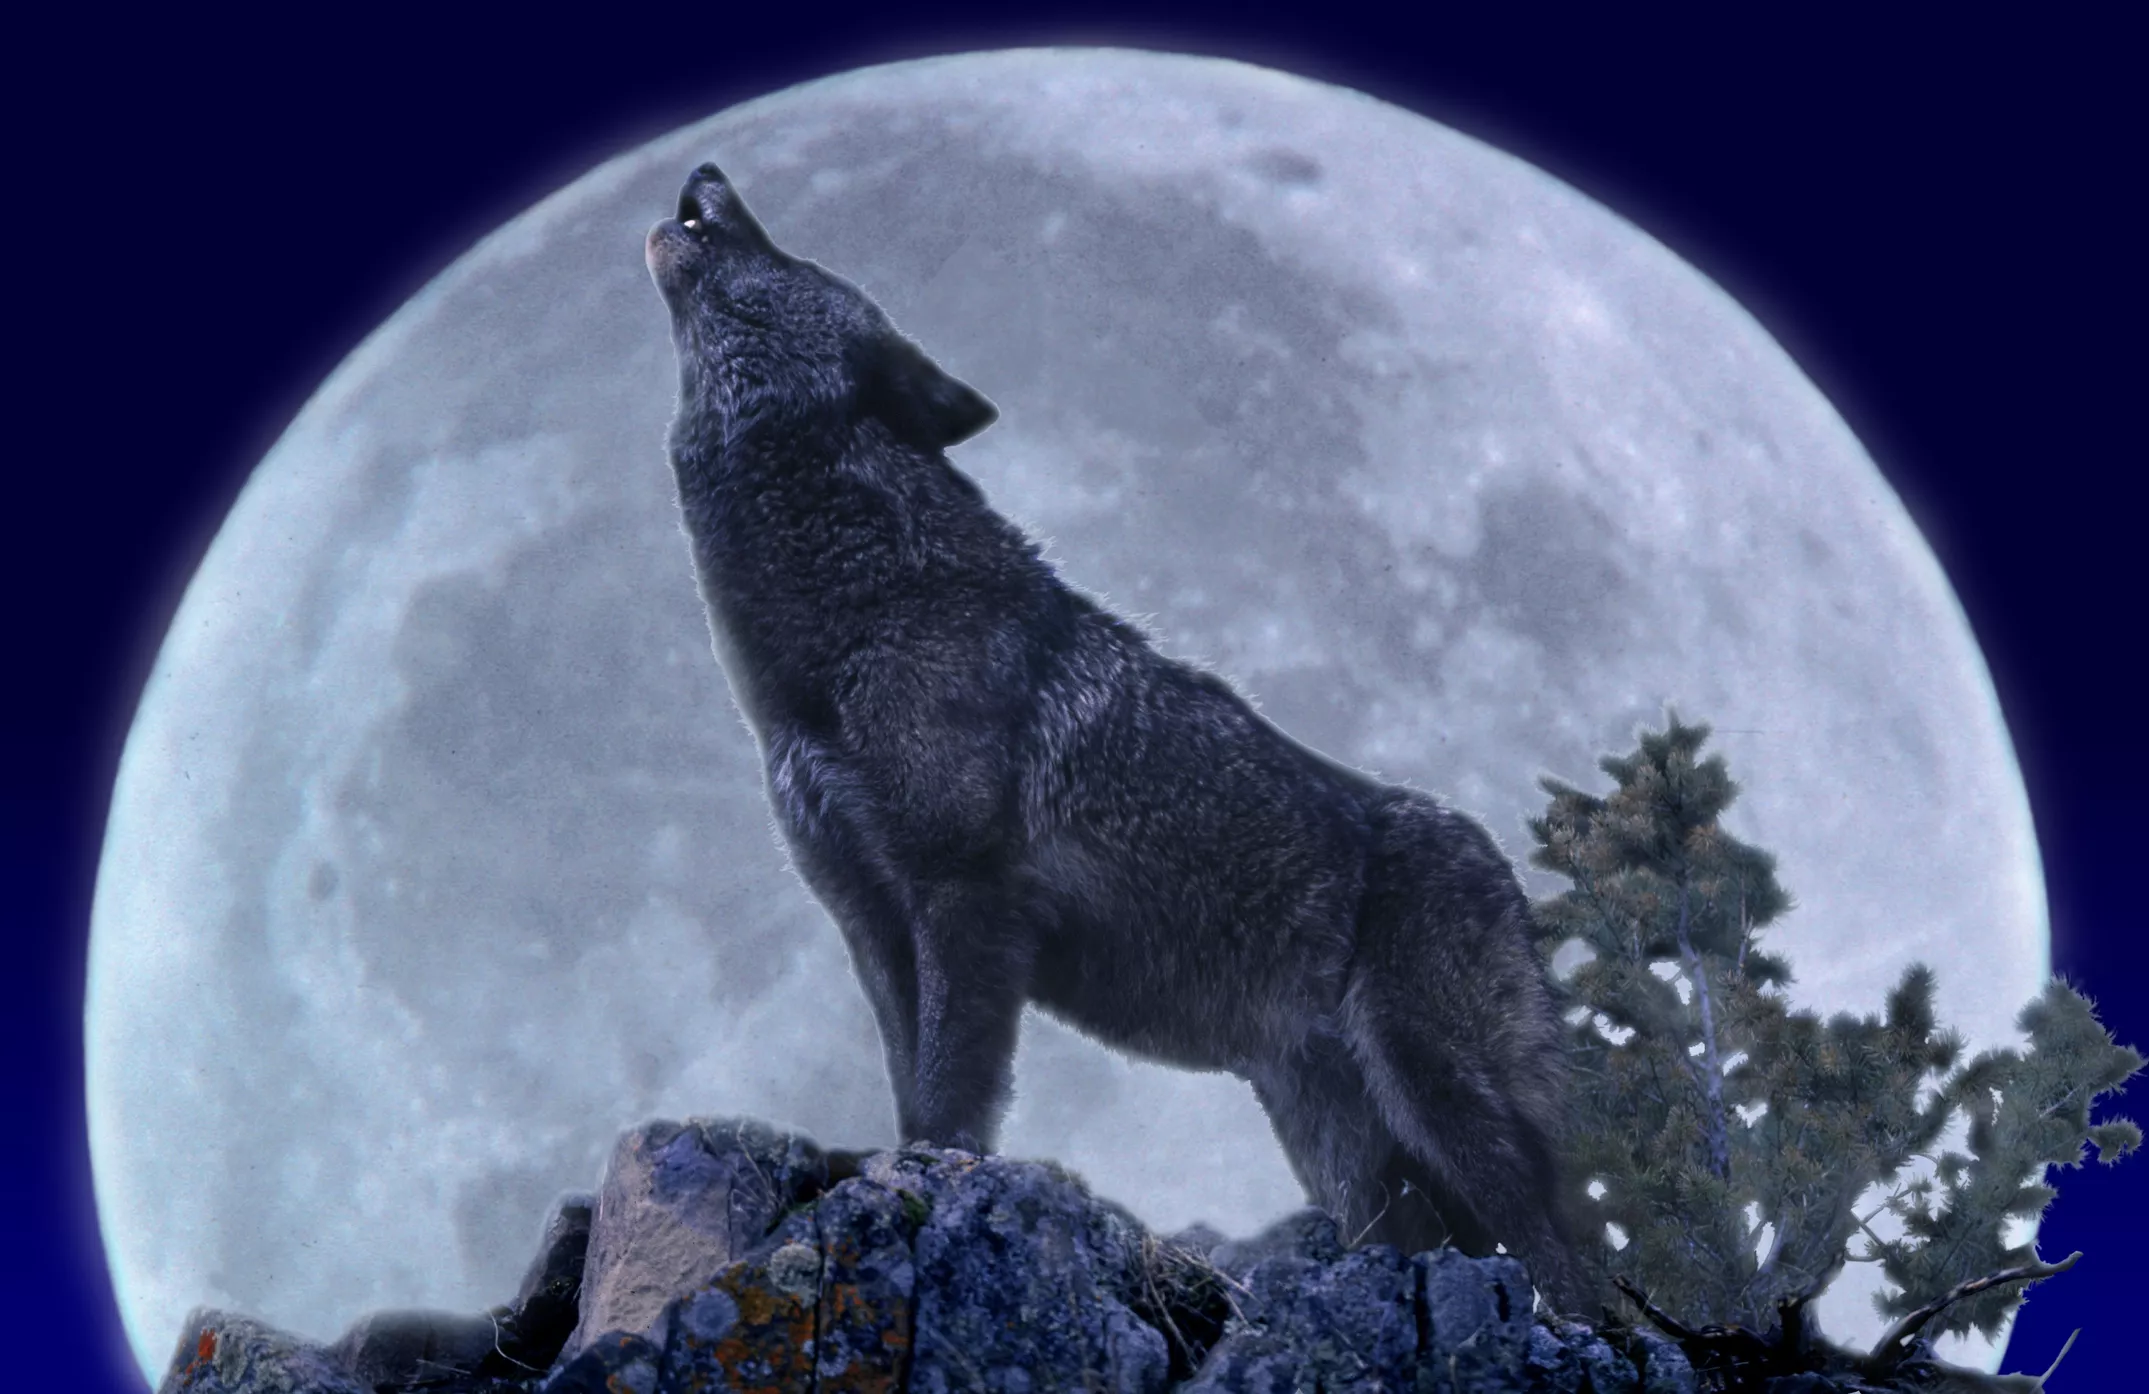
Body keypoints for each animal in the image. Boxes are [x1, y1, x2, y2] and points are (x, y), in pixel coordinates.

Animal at [645, 163, 1584, 1307]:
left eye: (790, 254)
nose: (708, 172)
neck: (847, 627)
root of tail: (1509, 872)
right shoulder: (868, 918)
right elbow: (906, 1071)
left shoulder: (965, 899)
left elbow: (952, 1084)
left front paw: (931, 1175)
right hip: (1341, 1143)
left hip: (1434, 1095)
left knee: (1561, 1255)